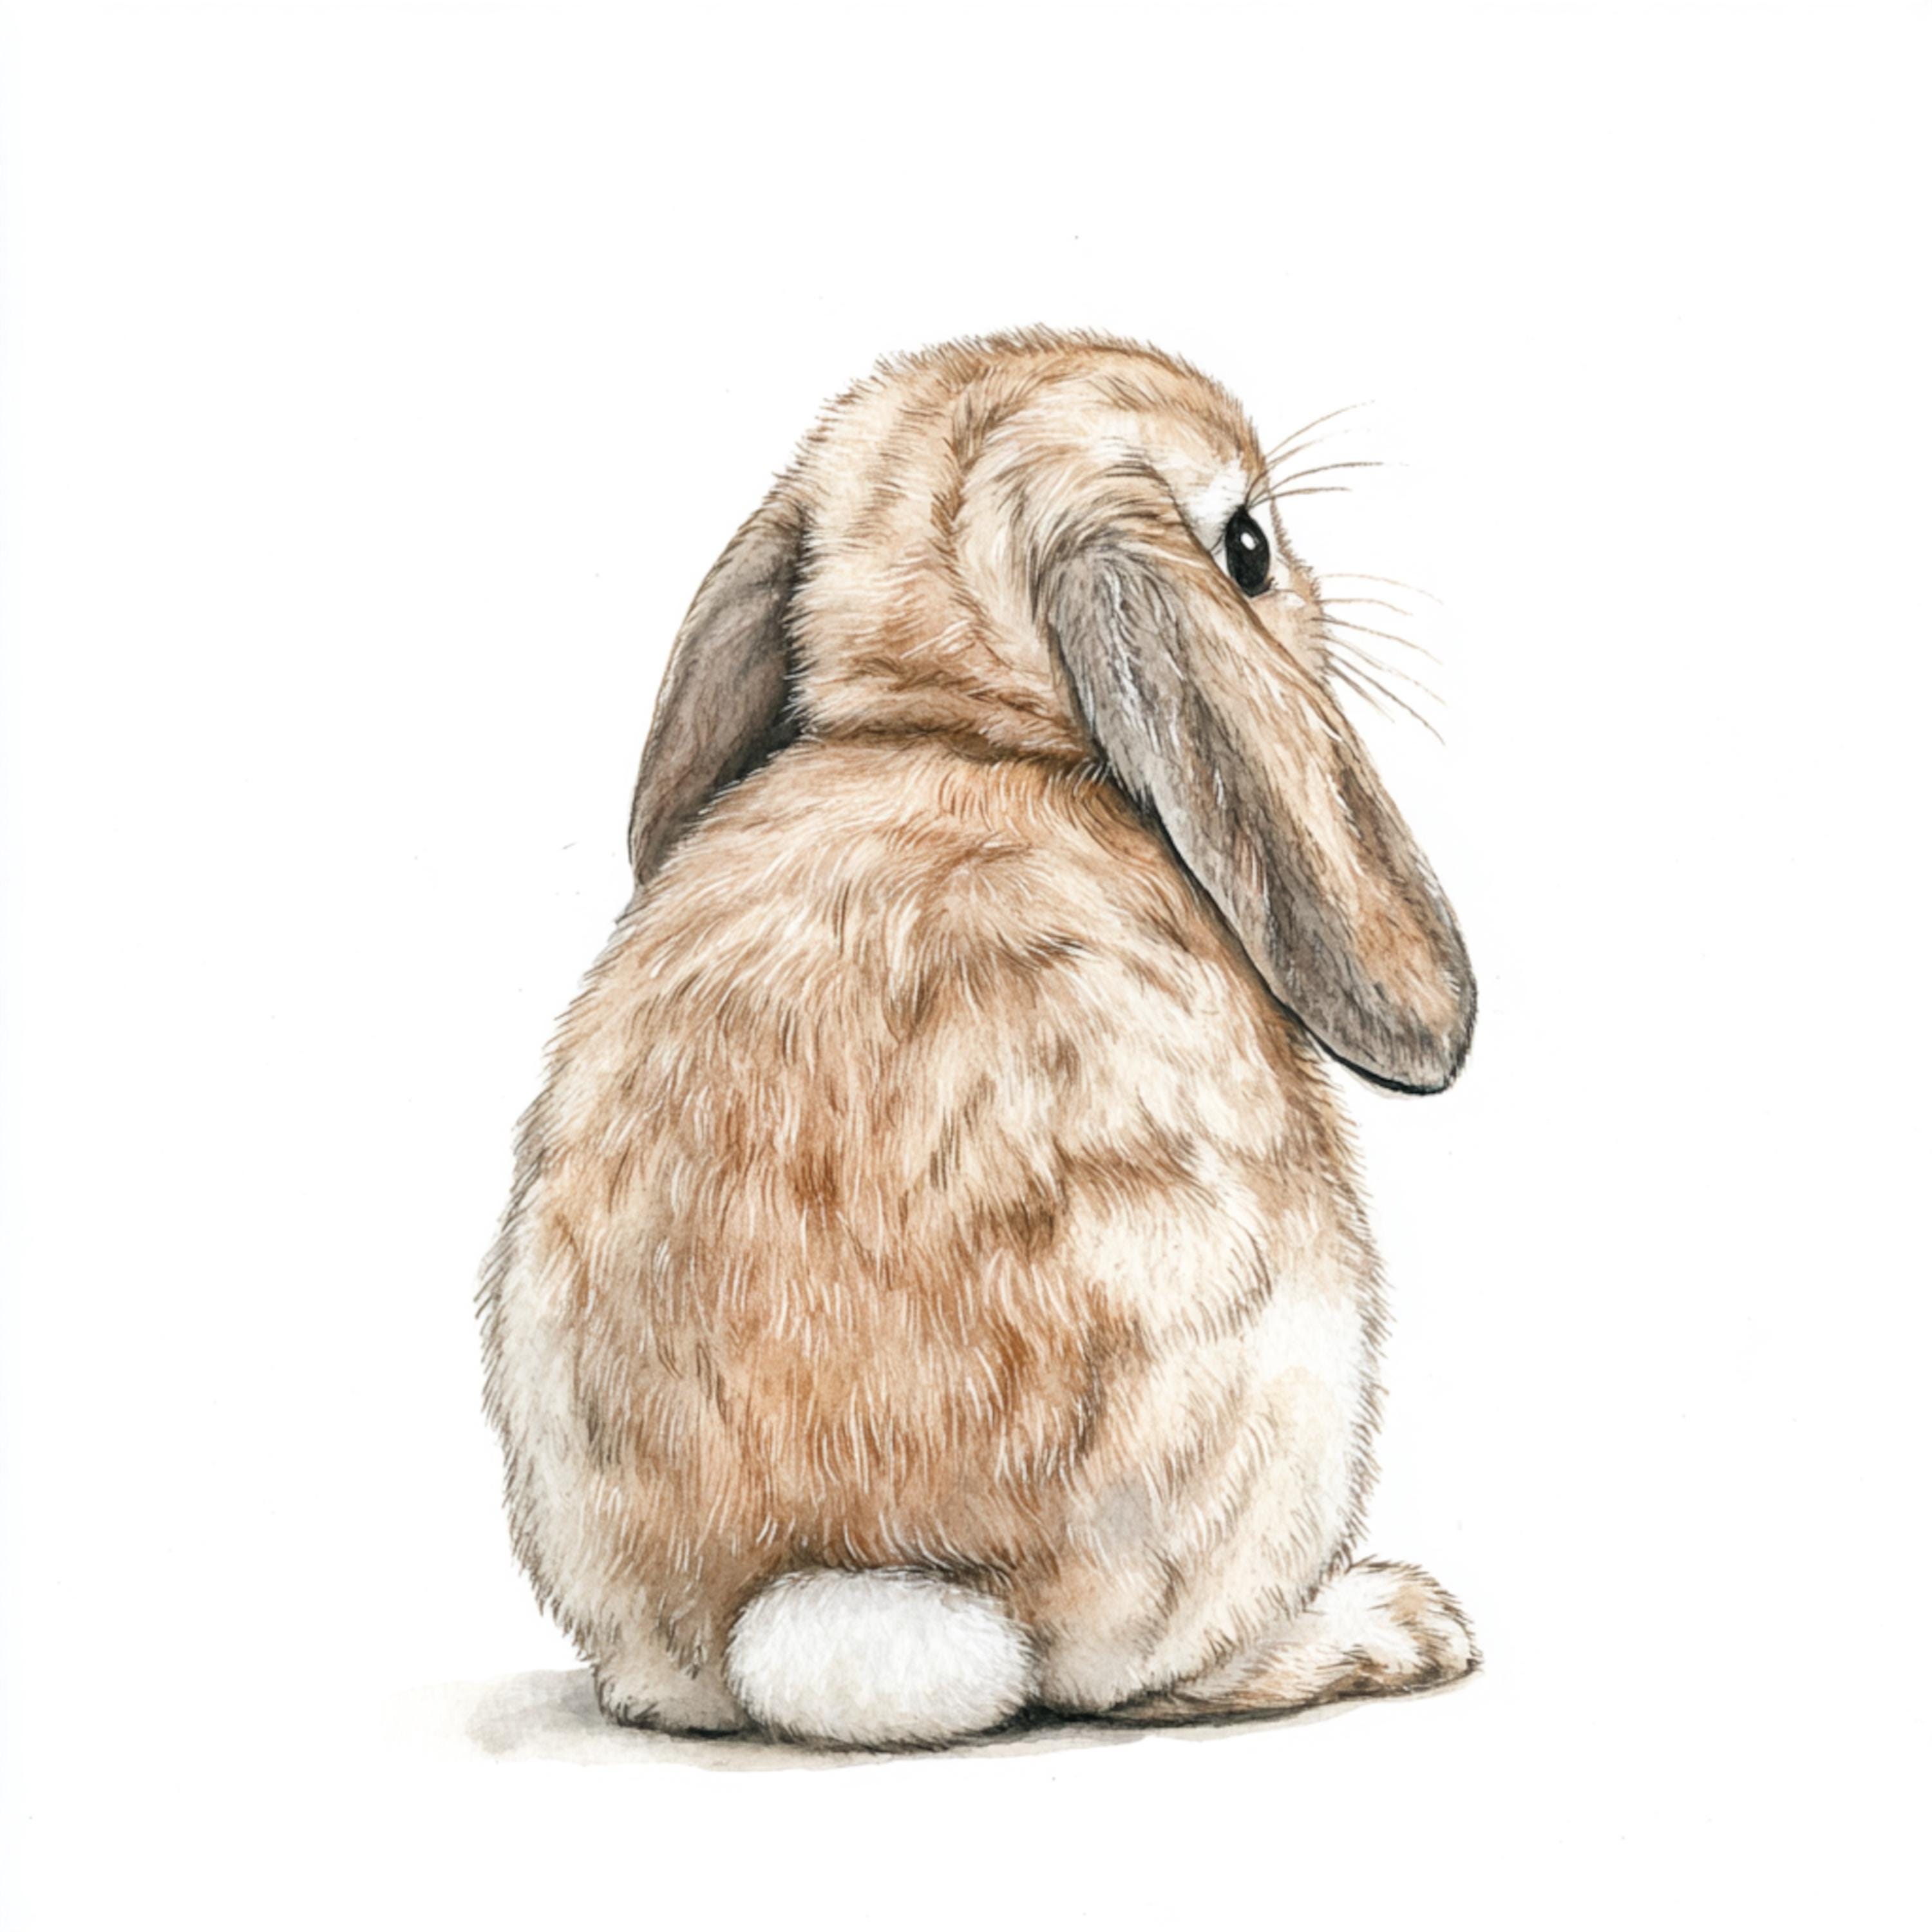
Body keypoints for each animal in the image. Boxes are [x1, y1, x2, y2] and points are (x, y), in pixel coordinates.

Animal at [479, 329, 1478, 1750]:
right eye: (1244, 548)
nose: (1309, 597)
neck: (956, 731)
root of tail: (842, 1599)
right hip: (1297, 1386)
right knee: (1134, 1682)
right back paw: (1388, 1624)